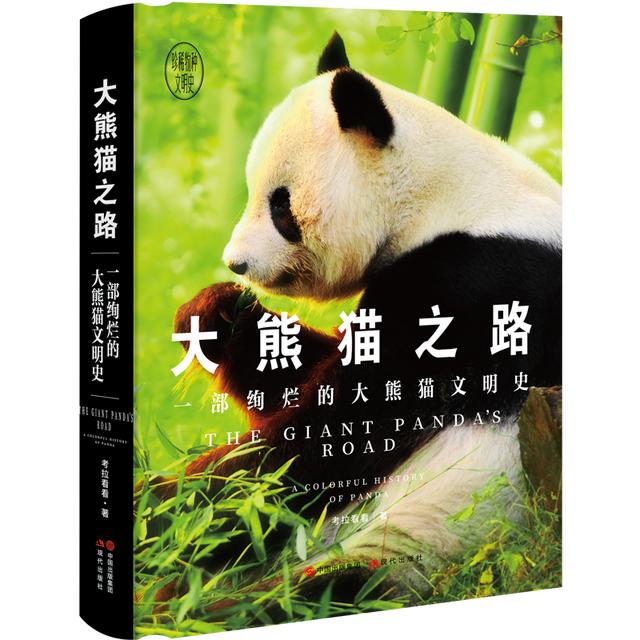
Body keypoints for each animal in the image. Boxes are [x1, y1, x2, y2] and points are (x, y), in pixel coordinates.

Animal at [171, 32, 561, 593]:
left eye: (281, 205)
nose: (236, 263)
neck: (442, 194)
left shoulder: (475, 280)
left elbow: (337, 432)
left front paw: (171, 504)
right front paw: (214, 314)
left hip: (420, 546)